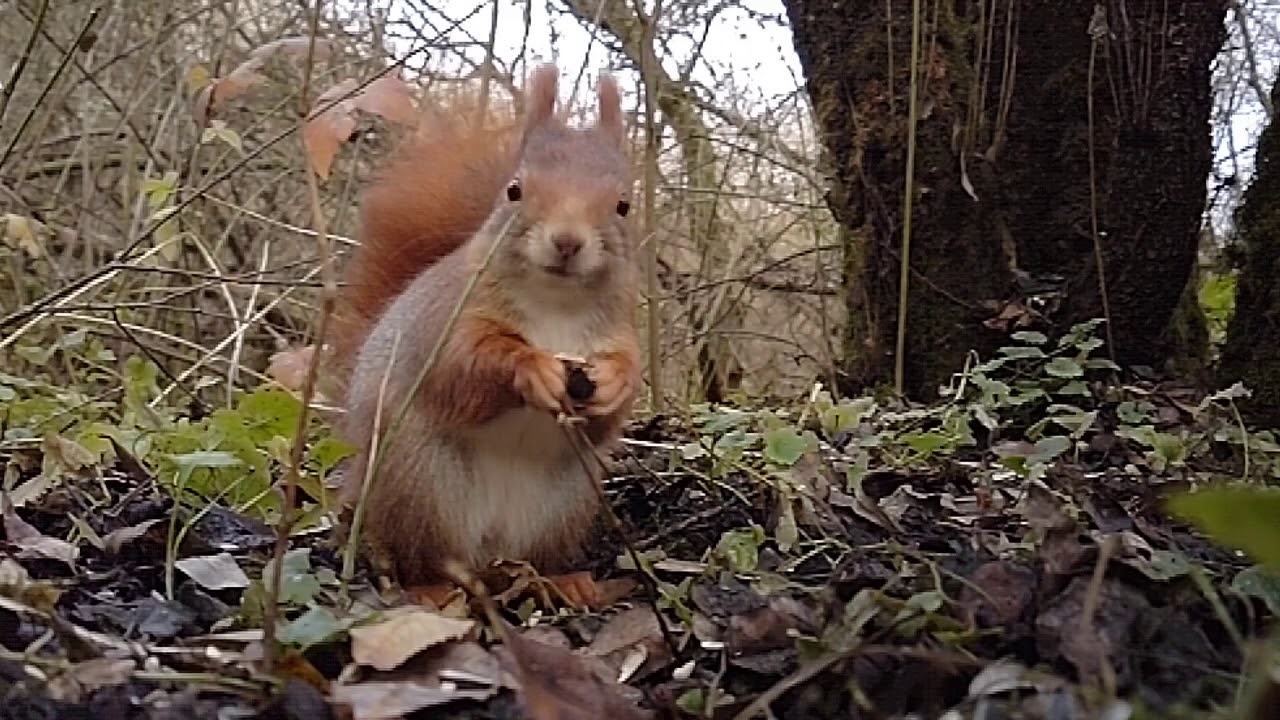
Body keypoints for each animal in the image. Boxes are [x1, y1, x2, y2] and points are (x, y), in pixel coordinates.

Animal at [329, 64, 641, 605]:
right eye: (514, 190)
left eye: (623, 205)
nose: (567, 241)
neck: (556, 306)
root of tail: (489, 550)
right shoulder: (446, 322)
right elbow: (462, 367)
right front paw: (530, 368)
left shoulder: (620, 331)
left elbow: (623, 385)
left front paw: (614, 381)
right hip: (419, 482)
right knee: (424, 557)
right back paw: (431, 589)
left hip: (564, 503)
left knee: (535, 557)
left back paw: (566, 582)